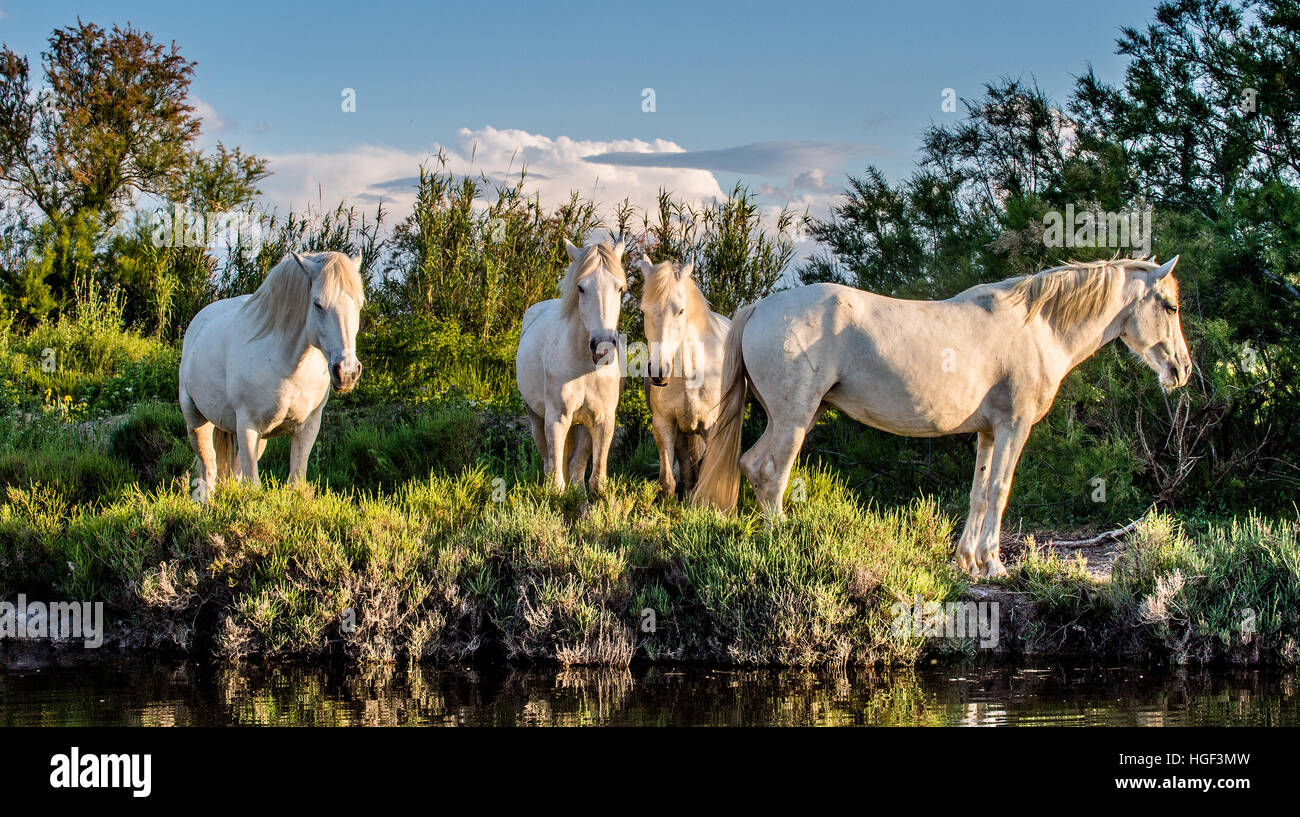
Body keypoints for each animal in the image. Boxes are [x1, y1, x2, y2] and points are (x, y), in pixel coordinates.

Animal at [179, 251, 365, 499]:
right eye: (317, 304)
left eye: (358, 304)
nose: (346, 372)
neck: (288, 365)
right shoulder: (247, 425)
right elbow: (252, 486)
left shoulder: (308, 427)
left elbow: (295, 483)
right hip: (197, 419)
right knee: (208, 466)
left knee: (233, 472)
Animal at [516, 238, 627, 493]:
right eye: (581, 288)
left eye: (619, 288)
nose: (603, 348)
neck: (585, 367)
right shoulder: (557, 418)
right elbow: (557, 480)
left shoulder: (603, 419)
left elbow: (596, 479)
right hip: (536, 417)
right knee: (549, 461)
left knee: (576, 464)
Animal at [638, 258, 731, 498]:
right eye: (643, 311)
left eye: (680, 311)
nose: (658, 372)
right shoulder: (664, 424)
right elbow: (668, 481)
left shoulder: (711, 427)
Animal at [692, 256, 1192, 577]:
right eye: (1170, 307)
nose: (1182, 370)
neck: (1037, 327)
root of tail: (762, 307)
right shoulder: (1013, 428)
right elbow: (1000, 491)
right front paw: (993, 565)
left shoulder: (988, 434)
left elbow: (978, 493)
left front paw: (967, 562)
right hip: (793, 420)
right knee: (770, 472)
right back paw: (782, 544)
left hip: (791, 419)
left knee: (753, 466)